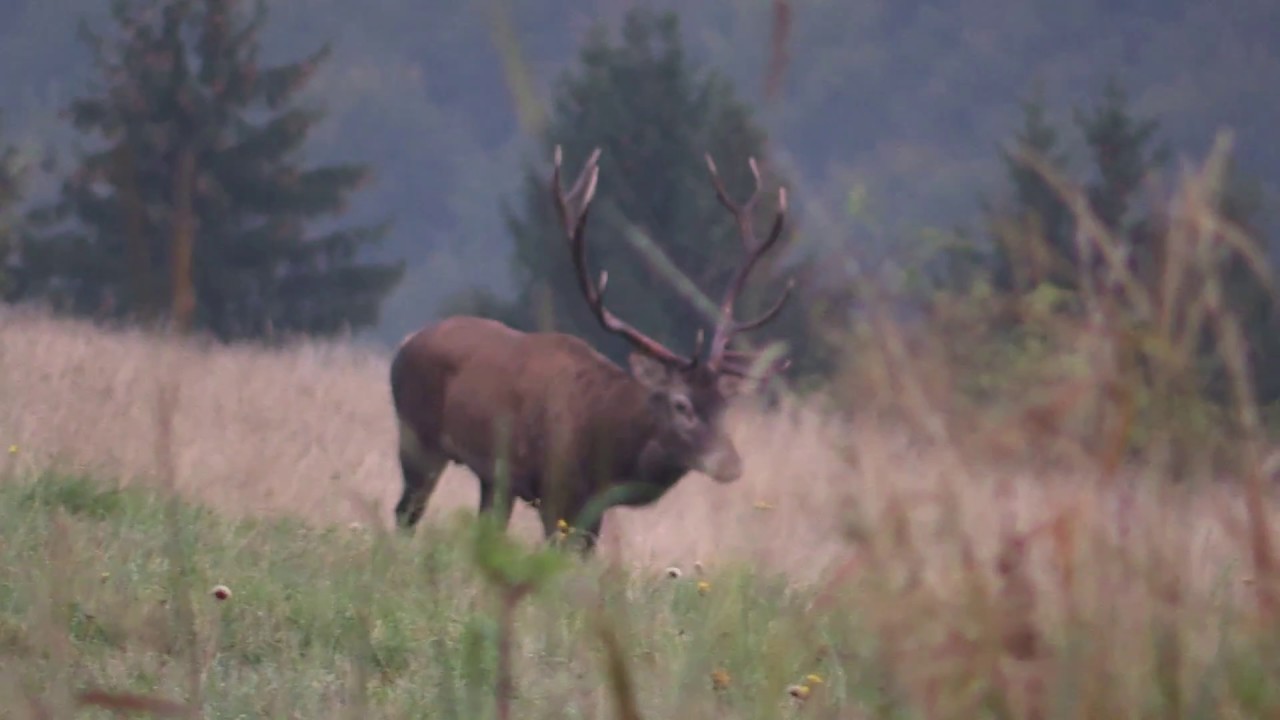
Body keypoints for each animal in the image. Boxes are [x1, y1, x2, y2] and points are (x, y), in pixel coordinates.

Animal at [389, 145, 794, 553]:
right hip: (416, 437)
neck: (606, 449)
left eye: (726, 405)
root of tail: (406, 342)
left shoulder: (592, 509)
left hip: (492, 477)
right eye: (681, 404)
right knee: (405, 513)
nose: (730, 465)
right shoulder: (555, 492)